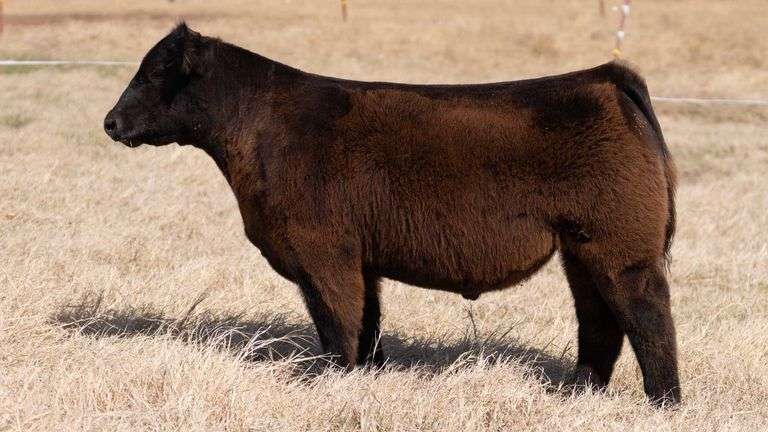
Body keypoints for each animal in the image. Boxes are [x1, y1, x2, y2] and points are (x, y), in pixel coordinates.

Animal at [104, 23, 680, 406]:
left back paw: (664, 402)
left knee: (647, 315)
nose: (109, 122)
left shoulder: (323, 253)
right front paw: (367, 377)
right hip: (582, 251)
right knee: (599, 318)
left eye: (155, 72)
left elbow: (336, 321)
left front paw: (332, 380)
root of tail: (606, 77)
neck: (260, 128)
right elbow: (367, 323)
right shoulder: (361, 259)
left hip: (620, 249)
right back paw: (579, 393)